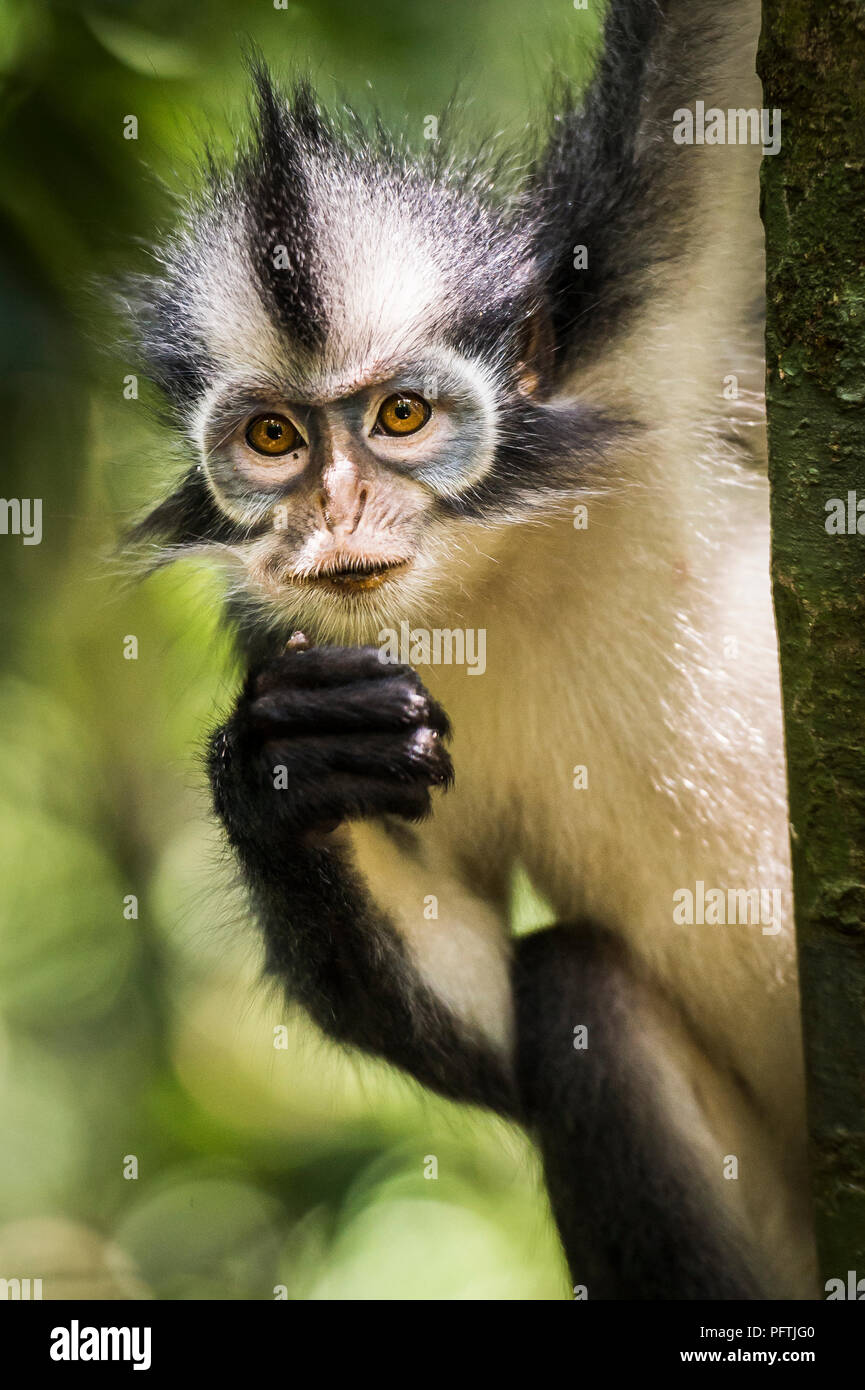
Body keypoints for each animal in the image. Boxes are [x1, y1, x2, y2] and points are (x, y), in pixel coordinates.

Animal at [123, 2, 817, 1301]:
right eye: (275, 438)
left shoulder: (661, 303)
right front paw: (282, 775)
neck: (501, 560)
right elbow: (497, 1020)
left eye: (401, 417)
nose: (335, 514)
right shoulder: (289, 628)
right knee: (575, 993)